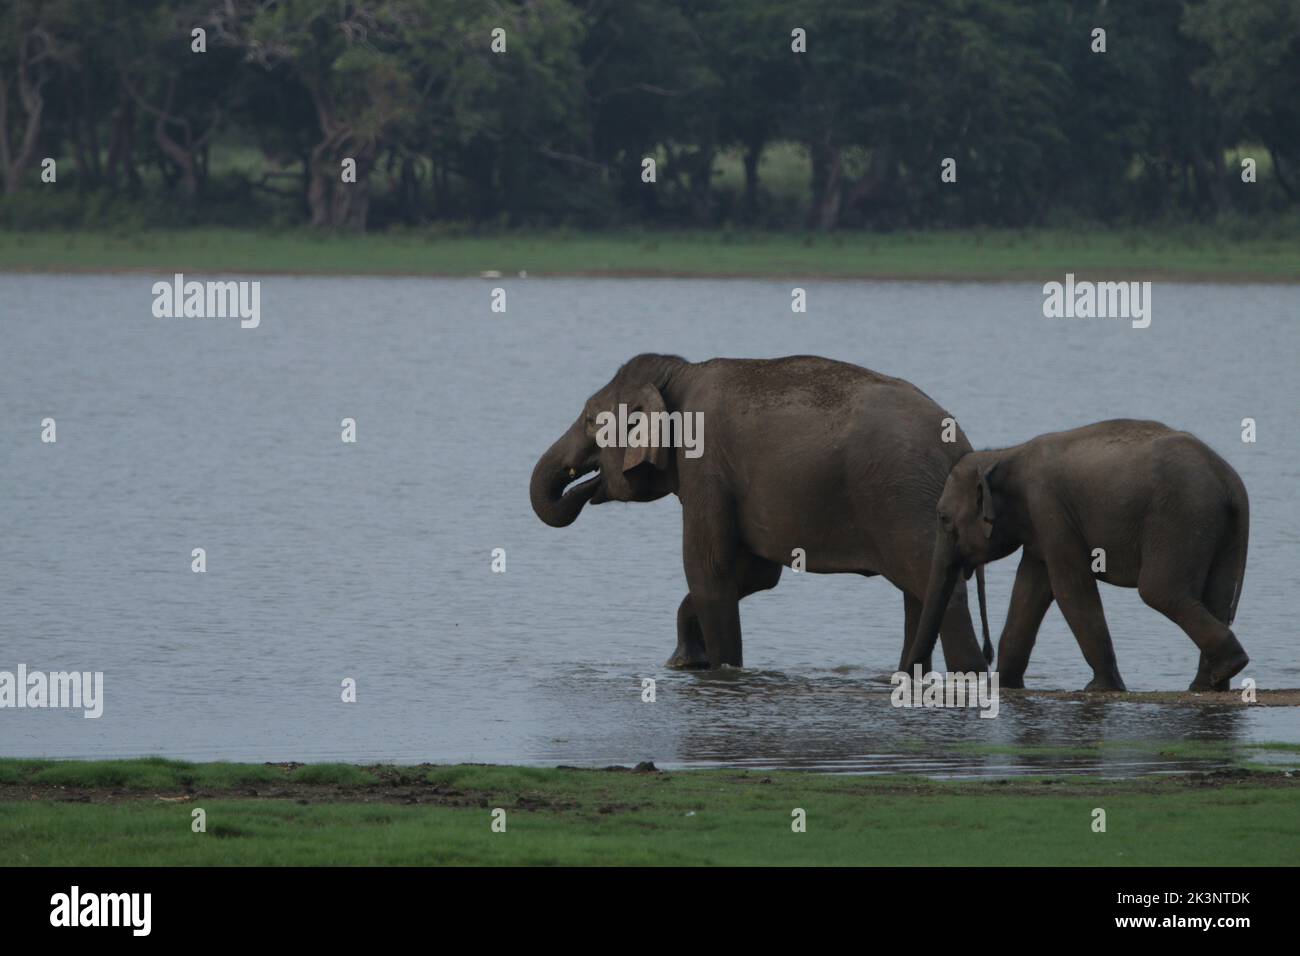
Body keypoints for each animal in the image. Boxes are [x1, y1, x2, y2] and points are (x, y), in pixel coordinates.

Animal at [529, 353, 992, 672]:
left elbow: (708, 570)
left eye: (591, 421)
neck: (678, 375)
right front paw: (684, 663)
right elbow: (754, 574)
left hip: (907, 501)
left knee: (939, 589)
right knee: (920, 593)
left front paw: (716, 666)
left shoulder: (705, 467)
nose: (580, 488)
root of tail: (962, 446)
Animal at [904, 419, 1250, 692]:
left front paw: (1101, 688)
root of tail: (1231, 481)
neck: (1004, 455)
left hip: (1182, 518)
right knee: (1217, 596)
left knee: (1160, 591)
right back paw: (1210, 683)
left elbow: (1070, 585)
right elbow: (1030, 589)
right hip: (1217, 526)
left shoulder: (1050, 509)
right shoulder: (1040, 526)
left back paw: (1226, 668)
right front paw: (1004, 685)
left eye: (944, 519)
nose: (911, 676)